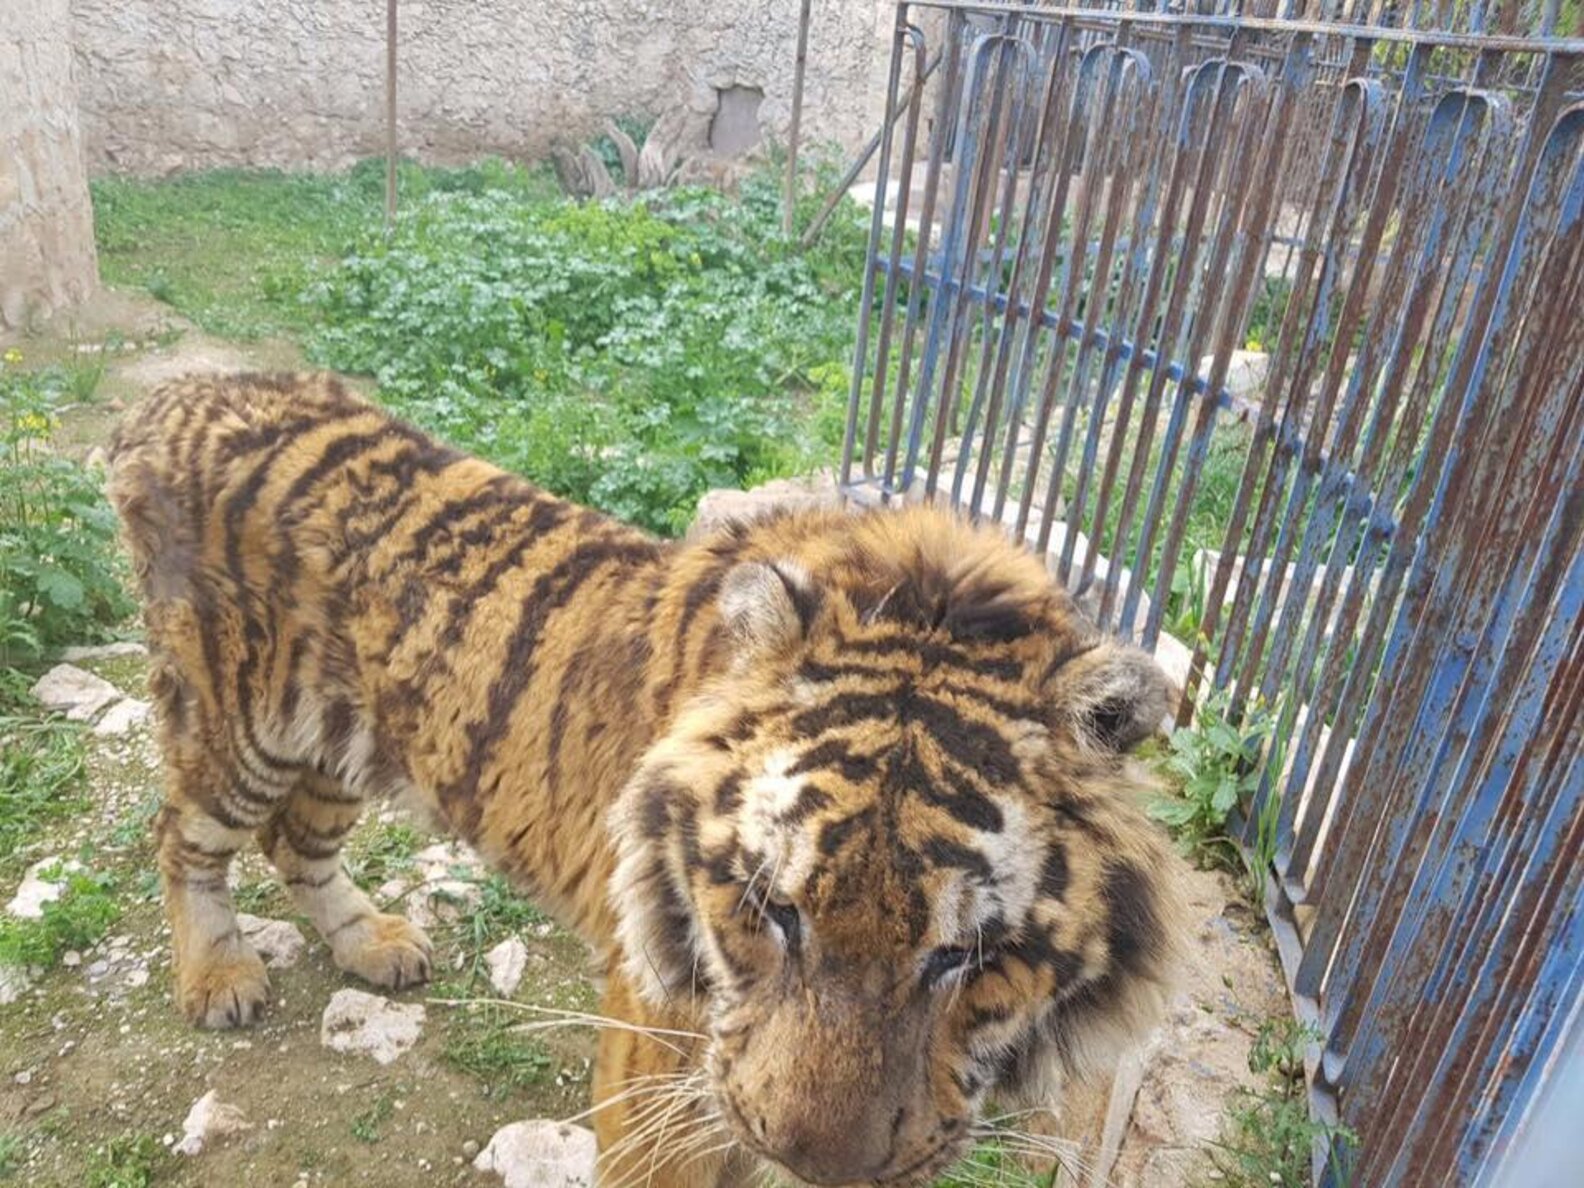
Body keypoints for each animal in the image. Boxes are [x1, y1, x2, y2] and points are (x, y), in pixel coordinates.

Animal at [107, 372, 1185, 1187]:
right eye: (773, 912)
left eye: (964, 954)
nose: (817, 1162)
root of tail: (179, 388)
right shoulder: (662, 1056)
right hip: (240, 724)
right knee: (183, 836)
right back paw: (219, 977)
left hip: (348, 743)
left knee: (296, 842)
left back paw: (374, 944)